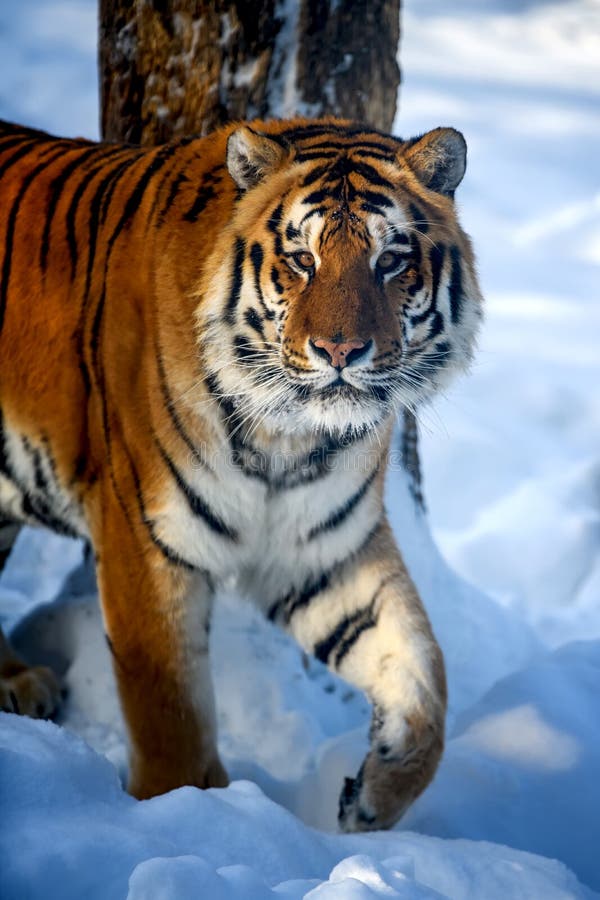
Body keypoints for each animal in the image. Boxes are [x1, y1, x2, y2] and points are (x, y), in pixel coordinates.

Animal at [0, 116, 482, 832]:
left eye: (390, 260)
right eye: (303, 260)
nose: (340, 351)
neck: (289, 437)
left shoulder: (325, 551)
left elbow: (422, 678)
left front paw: (369, 802)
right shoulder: (147, 539)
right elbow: (169, 718)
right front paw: (186, 820)